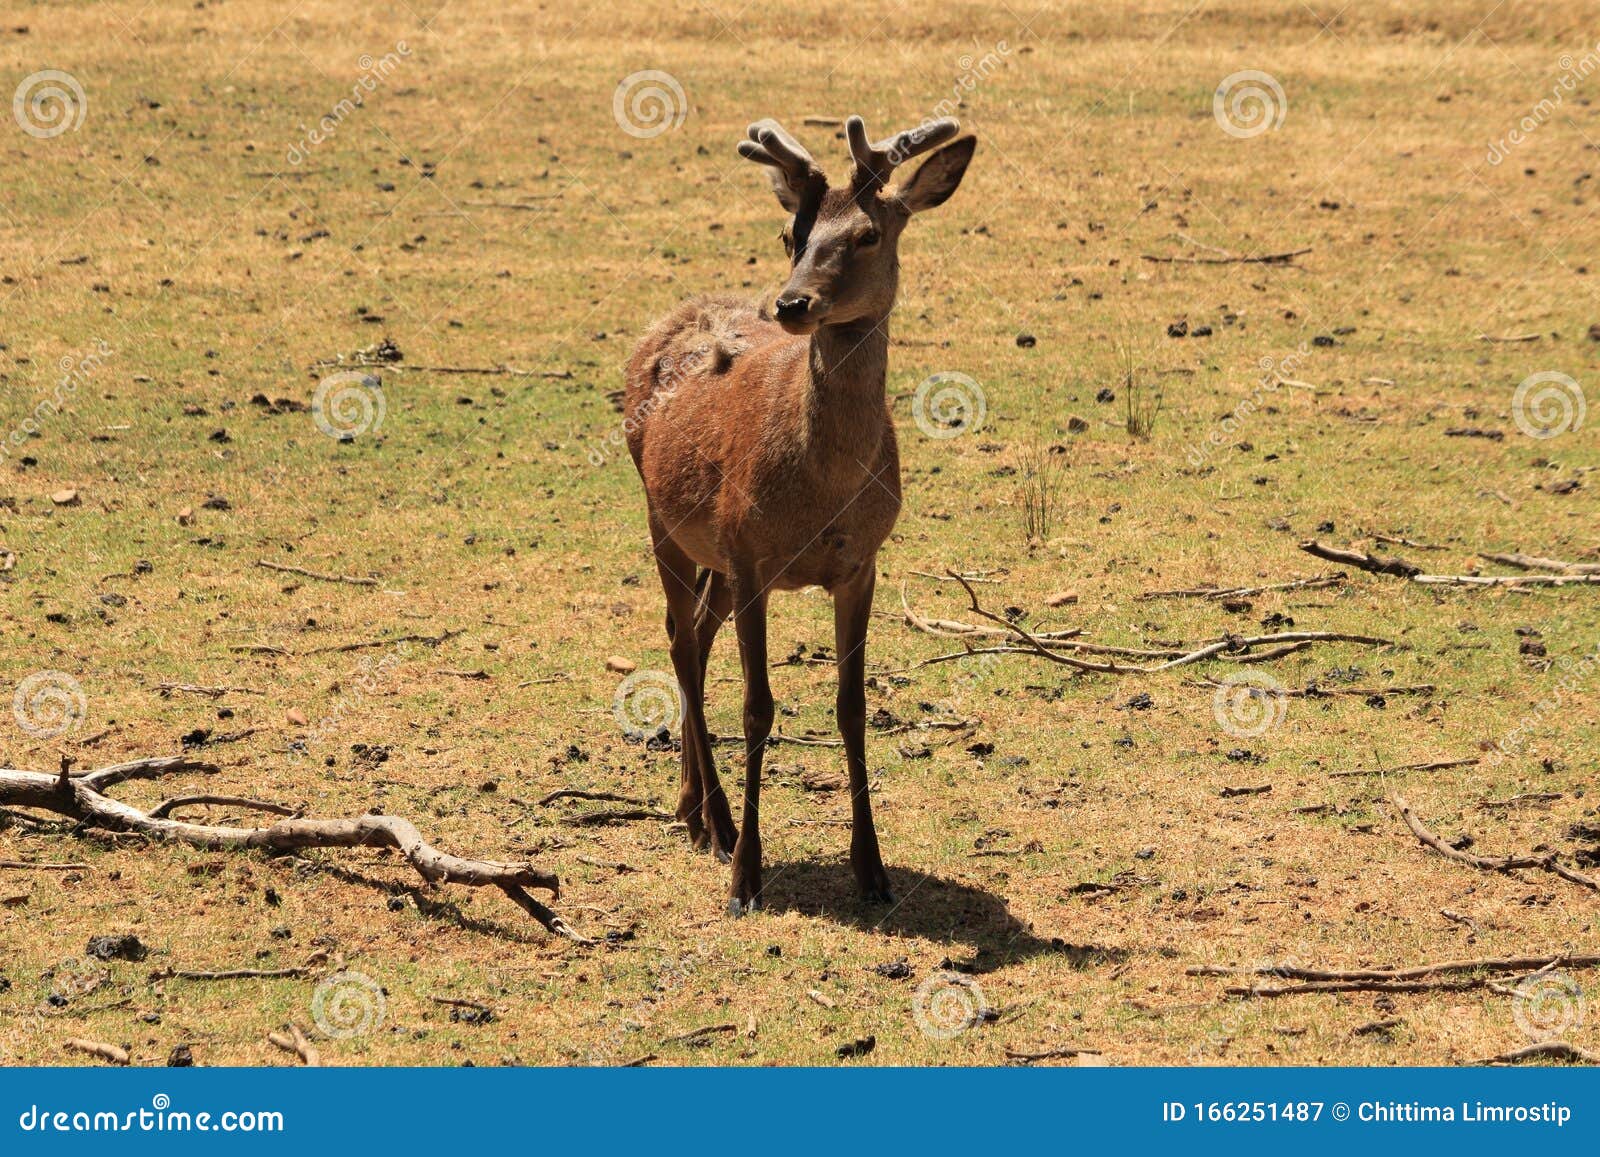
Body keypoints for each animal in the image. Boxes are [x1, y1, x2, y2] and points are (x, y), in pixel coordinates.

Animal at [623, 115, 976, 915]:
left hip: (715, 552)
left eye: (868, 234)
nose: (790, 304)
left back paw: (693, 808)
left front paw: (872, 869)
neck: (824, 490)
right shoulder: (753, 555)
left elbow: (851, 705)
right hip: (666, 520)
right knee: (679, 641)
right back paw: (718, 823)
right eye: (793, 233)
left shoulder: (861, 562)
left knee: (696, 633)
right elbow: (759, 706)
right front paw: (746, 878)